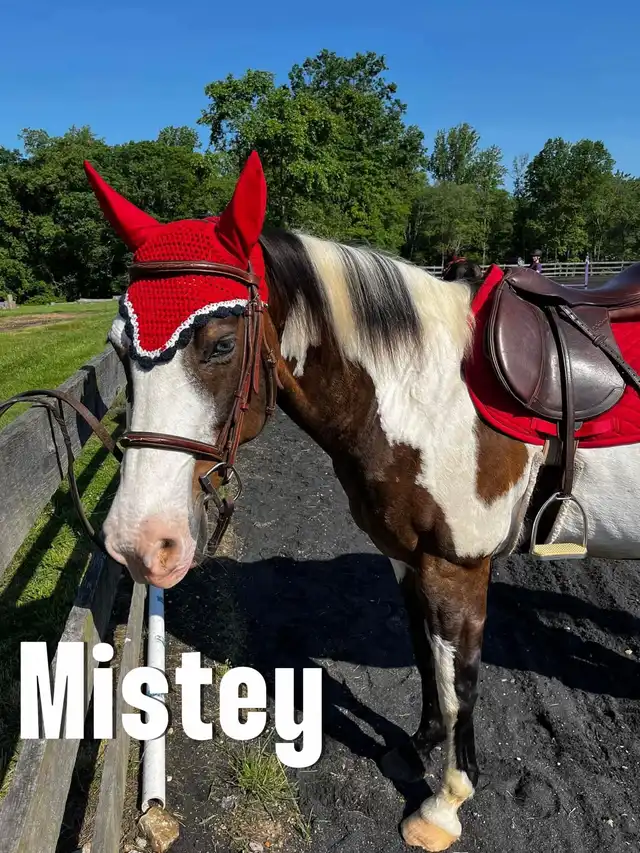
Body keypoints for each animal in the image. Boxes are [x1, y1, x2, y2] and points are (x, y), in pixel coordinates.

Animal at [84, 153, 640, 852]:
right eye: (119, 348)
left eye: (220, 344)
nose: (138, 541)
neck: (425, 391)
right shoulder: (408, 556)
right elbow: (426, 655)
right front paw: (416, 747)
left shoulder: (458, 566)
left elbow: (460, 681)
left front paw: (444, 803)